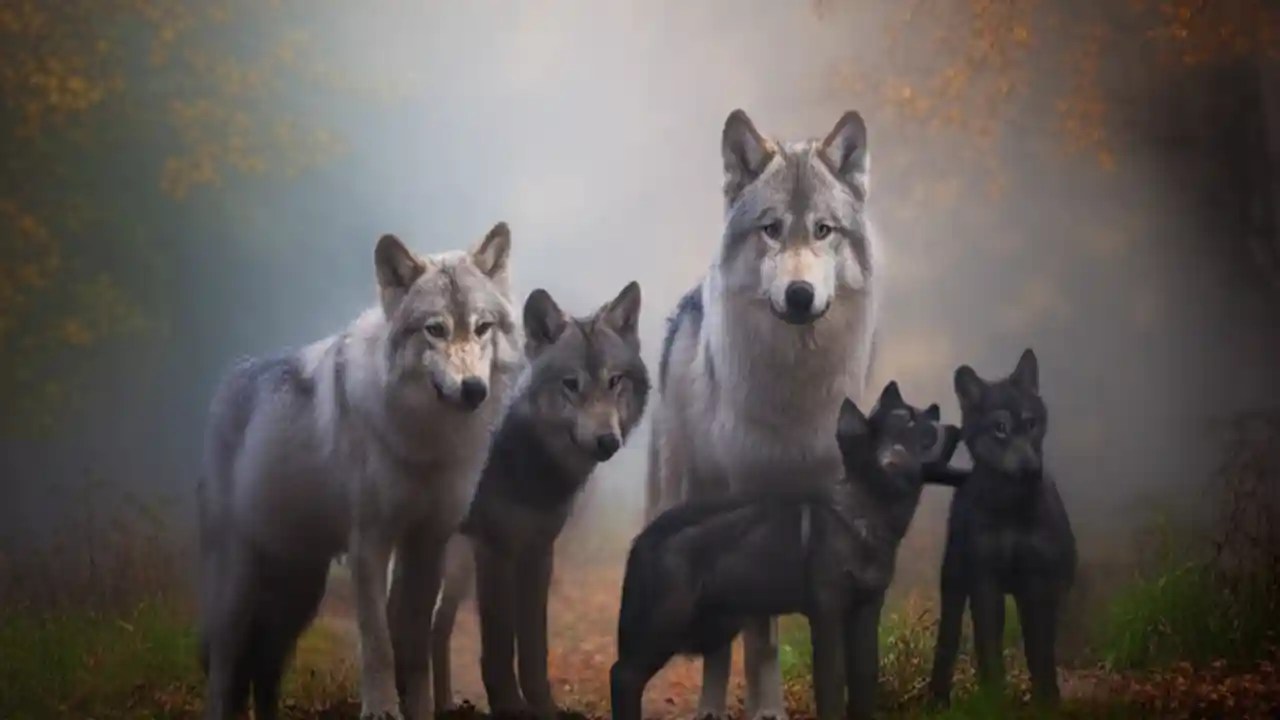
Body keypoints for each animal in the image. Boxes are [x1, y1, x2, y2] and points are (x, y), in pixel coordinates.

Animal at [196, 223, 520, 720]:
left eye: (482, 327)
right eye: (435, 330)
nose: (473, 390)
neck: (426, 441)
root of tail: (228, 381)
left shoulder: (427, 543)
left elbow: (414, 644)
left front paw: (420, 709)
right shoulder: (370, 544)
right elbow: (378, 642)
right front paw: (382, 709)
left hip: (299, 591)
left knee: (265, 668)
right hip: (238, 585)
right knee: (226, 668)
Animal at [431, 282, 650, 718]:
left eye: (615, 380)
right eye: (571, 383)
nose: (608, 441)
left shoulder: (538, 552)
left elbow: (534, 646)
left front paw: (545, 706)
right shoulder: (495, 551)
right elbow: (499, 646)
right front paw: (510, 707)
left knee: (436, 625)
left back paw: (445, 704)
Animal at [612, 381, 955, 720]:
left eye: (931, 414)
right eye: (910, 422)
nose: (953, 427)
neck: (866, 510)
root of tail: (643, 538)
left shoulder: (867, 610)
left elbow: (863, 681)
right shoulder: (827, 612)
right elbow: (831, 686)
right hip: (666, 625)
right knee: (623, 676)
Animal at [645, 108, 881, 719]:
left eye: (823, 230)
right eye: (771, 229)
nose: (798, 295)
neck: (795, 391)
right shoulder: (753, 510)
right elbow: (760, 642)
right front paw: (768, 709)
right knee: (718, 639)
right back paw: (709, 706)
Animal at [927, 349, 1078, 707]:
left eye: (1032, 423)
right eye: (1000, 428)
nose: (1031, 469)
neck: (1010, 508)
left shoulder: (1037, 582)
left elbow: (1040, 651)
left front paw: (1046, 702)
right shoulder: (985, 582)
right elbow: (989, 650)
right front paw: (993, 698)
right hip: (953, 582)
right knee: (947, 641)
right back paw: (938, 700)